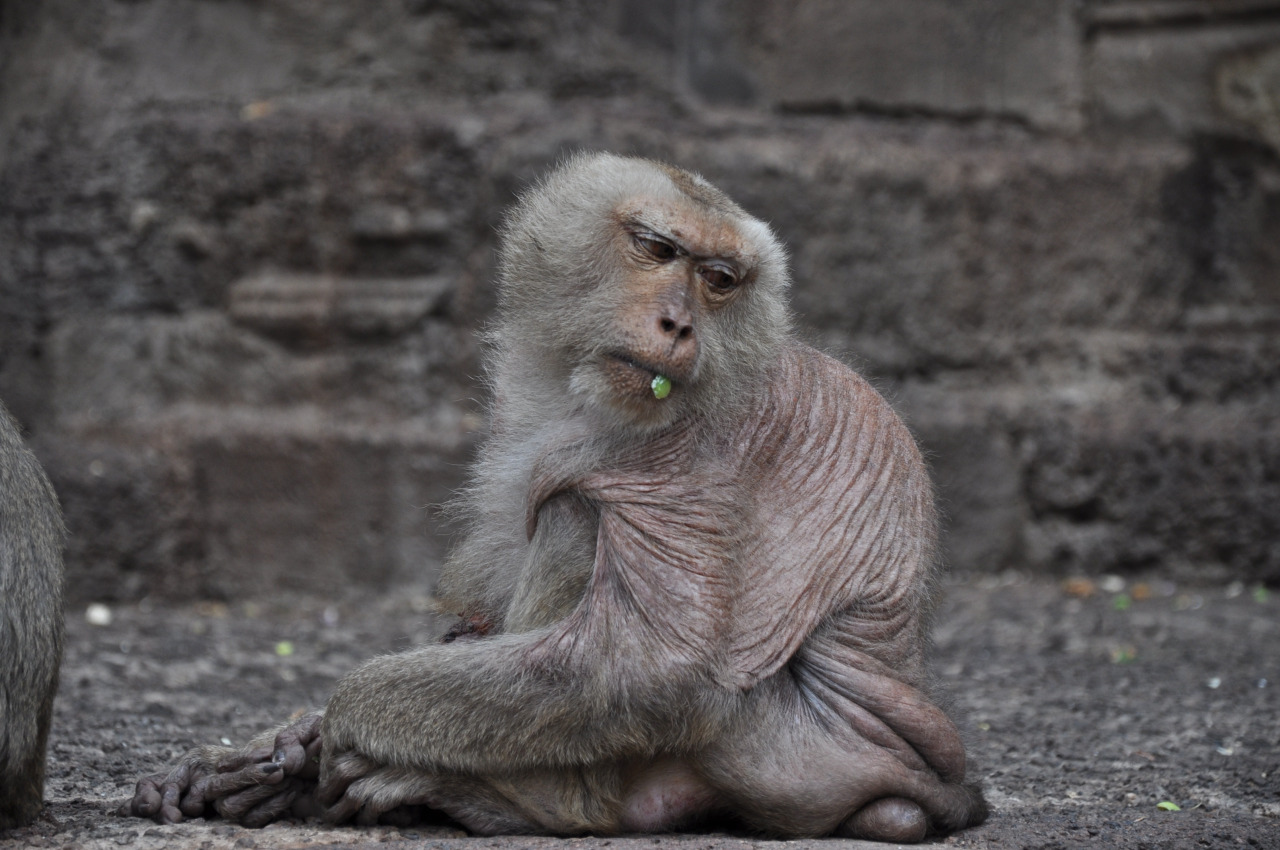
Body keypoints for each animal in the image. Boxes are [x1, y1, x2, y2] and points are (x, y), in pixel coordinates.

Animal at [130, 153, 988, 842]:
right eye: (656, 249)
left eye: (718, 281)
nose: (677, 324)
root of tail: (928, 786)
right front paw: (284, 742)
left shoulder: (694, 452)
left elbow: (658, 664)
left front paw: (340, 728)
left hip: (783, 758)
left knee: (578, 515)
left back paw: (522, 803)